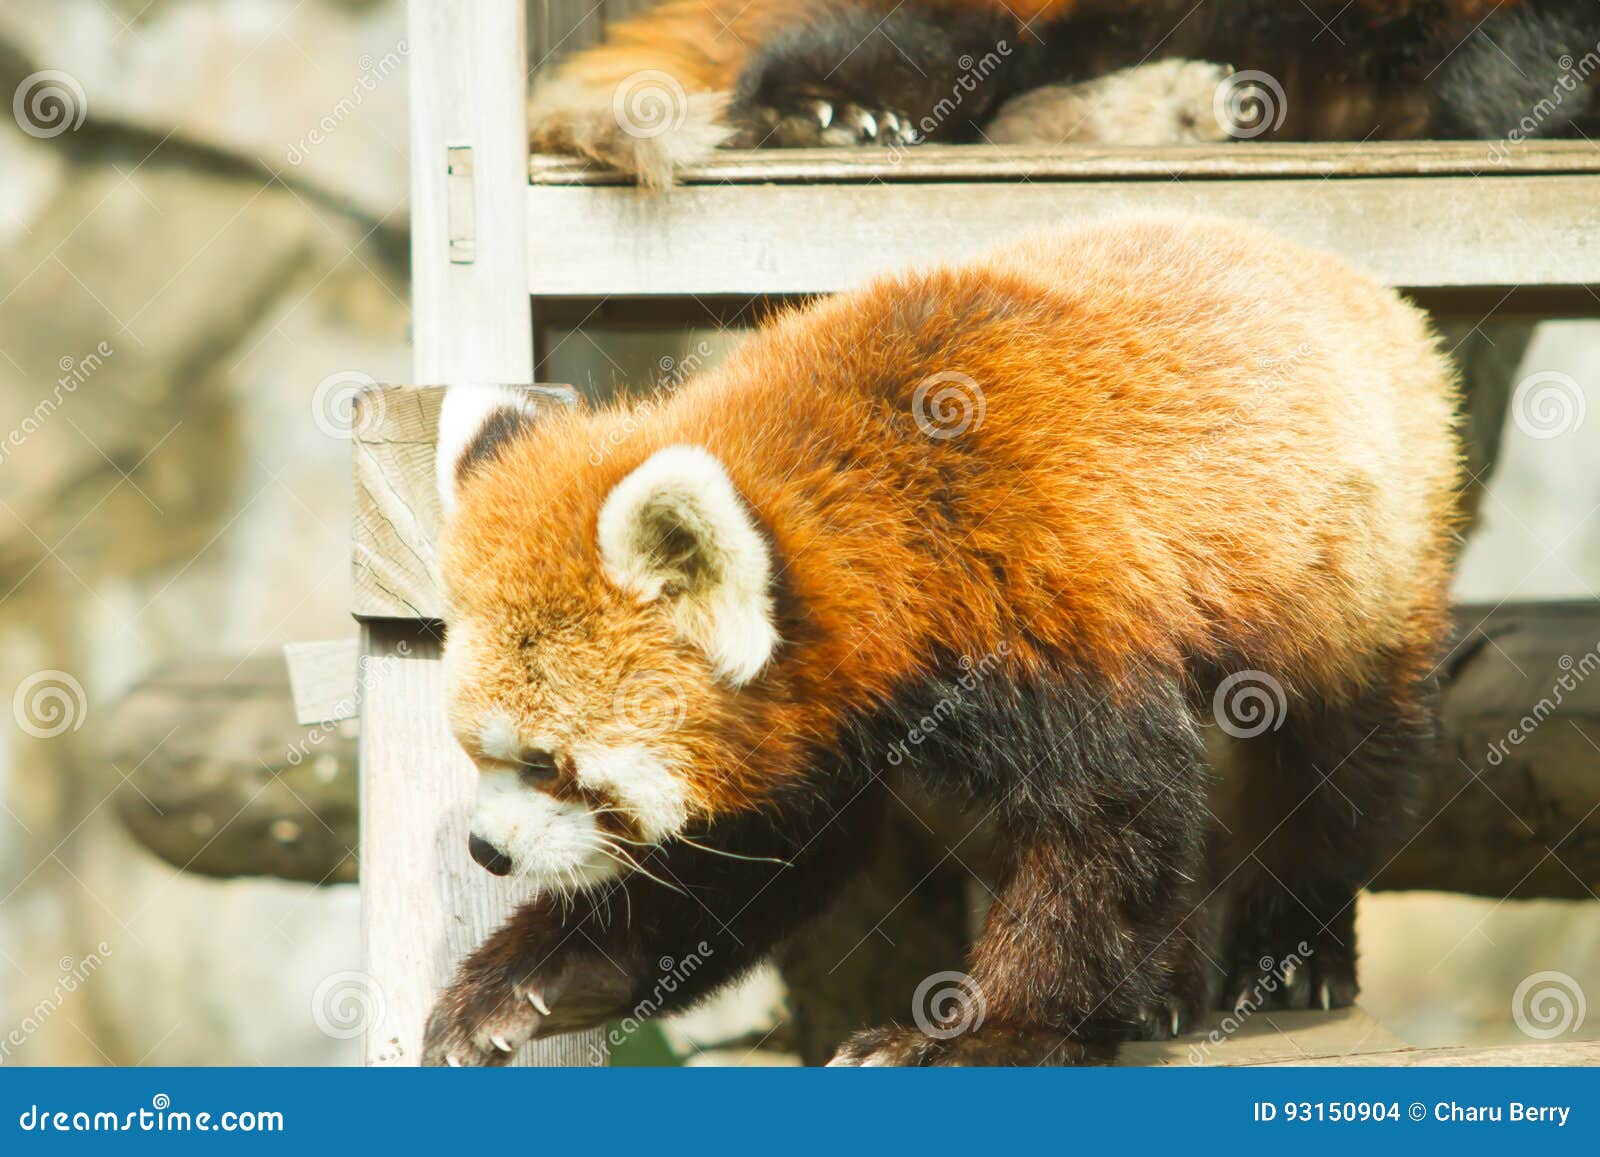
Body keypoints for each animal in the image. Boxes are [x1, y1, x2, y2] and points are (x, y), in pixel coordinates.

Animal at [420, 215, 1461, 1068]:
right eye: (476, 752)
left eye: (549, 763)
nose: (486, 852)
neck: (890, 510)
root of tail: (1337, 272)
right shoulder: (823, 714)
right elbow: (760, 859)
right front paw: (538, 978)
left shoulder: (1040, 596)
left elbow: (1110, 814)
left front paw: (982, 1033)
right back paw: (1166, 989)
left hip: (1359, 567)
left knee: (1339, 766)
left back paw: (1294, 952)